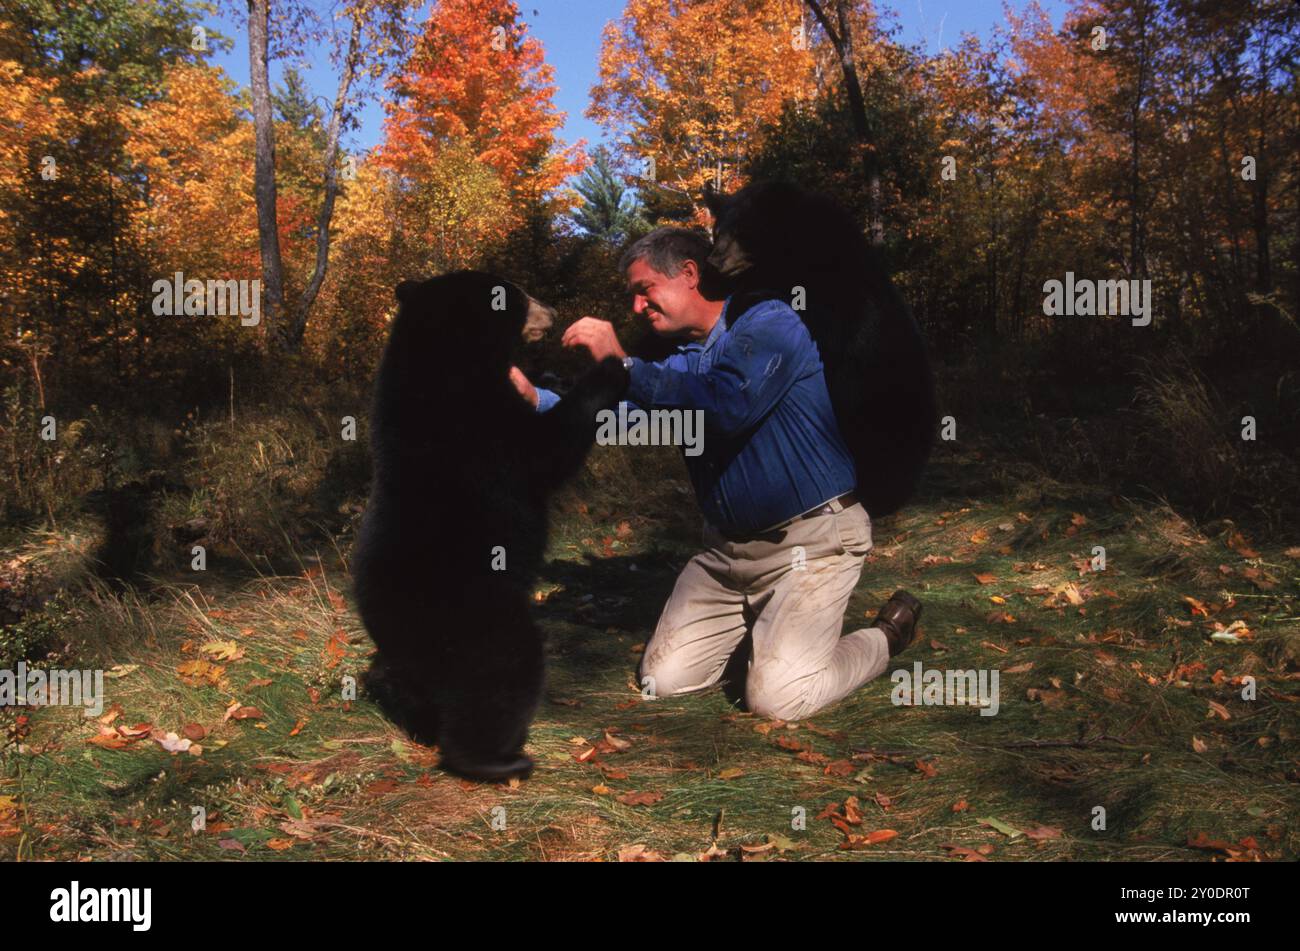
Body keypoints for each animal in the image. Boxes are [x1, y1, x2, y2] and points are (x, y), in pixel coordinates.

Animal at [350, 270, 628, 782]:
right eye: (516, 294)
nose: (551, 311)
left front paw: (553, 376)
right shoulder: (480, 429)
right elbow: (545, 449)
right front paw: (607, 366)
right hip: (477, 616)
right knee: (503, 674)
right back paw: (497, 758)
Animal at [703, 181, 936, 518]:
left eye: (744, 230)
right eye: (718, 229)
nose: (715, 261)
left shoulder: (837, 289)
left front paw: (744, 299)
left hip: (880, 410)